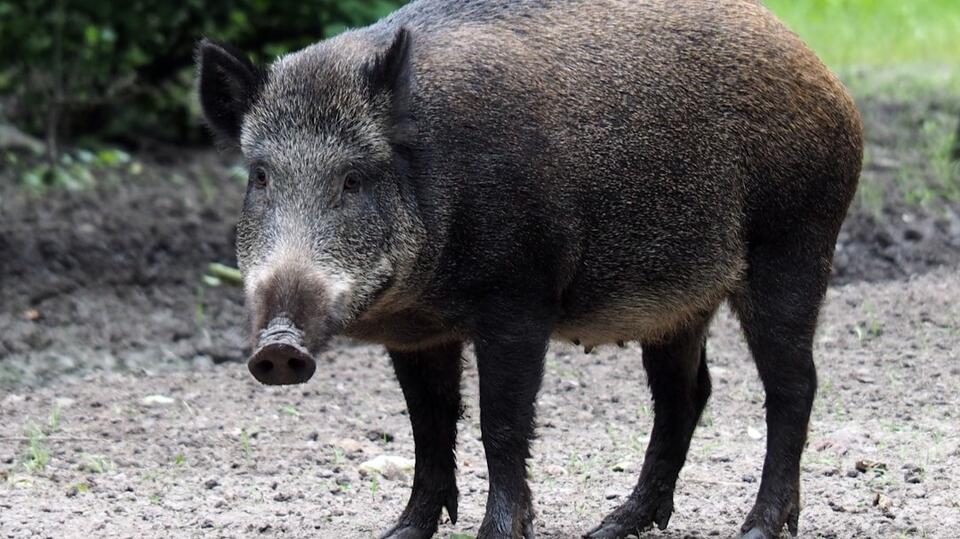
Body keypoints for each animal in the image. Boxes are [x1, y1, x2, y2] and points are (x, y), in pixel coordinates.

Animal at [196, 0, 862, 537]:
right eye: (261, 176)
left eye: (353, 179)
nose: (278, 347)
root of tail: (829, 83)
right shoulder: (416, 333)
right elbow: (429, 426)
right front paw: (401, 532)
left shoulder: (518, 298)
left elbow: (502, 424)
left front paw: (499, 533)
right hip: (680, 303)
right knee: (686, 394)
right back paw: (613, 526)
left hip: (794, 246)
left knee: (793, 386)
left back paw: (759, 527)